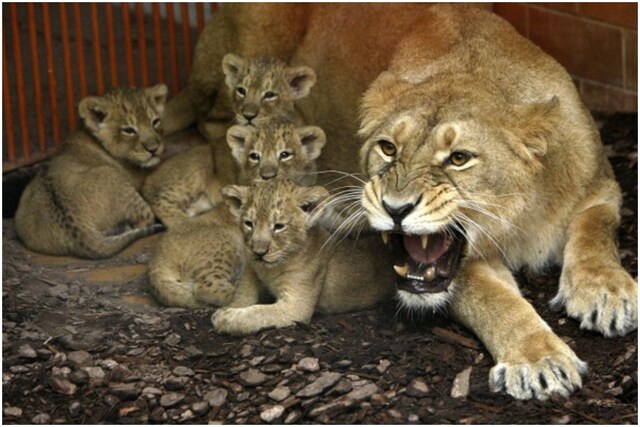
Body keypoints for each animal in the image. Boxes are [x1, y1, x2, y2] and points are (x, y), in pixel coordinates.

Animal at [162, 3, 637, 400]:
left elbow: (595, 232)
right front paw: (539, 360)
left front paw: (607, 294)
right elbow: (496, 302)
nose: (395, 208)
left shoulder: (602, 189)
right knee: (218, 121)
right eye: (388, 148)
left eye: (459, 158)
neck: (519, 216)